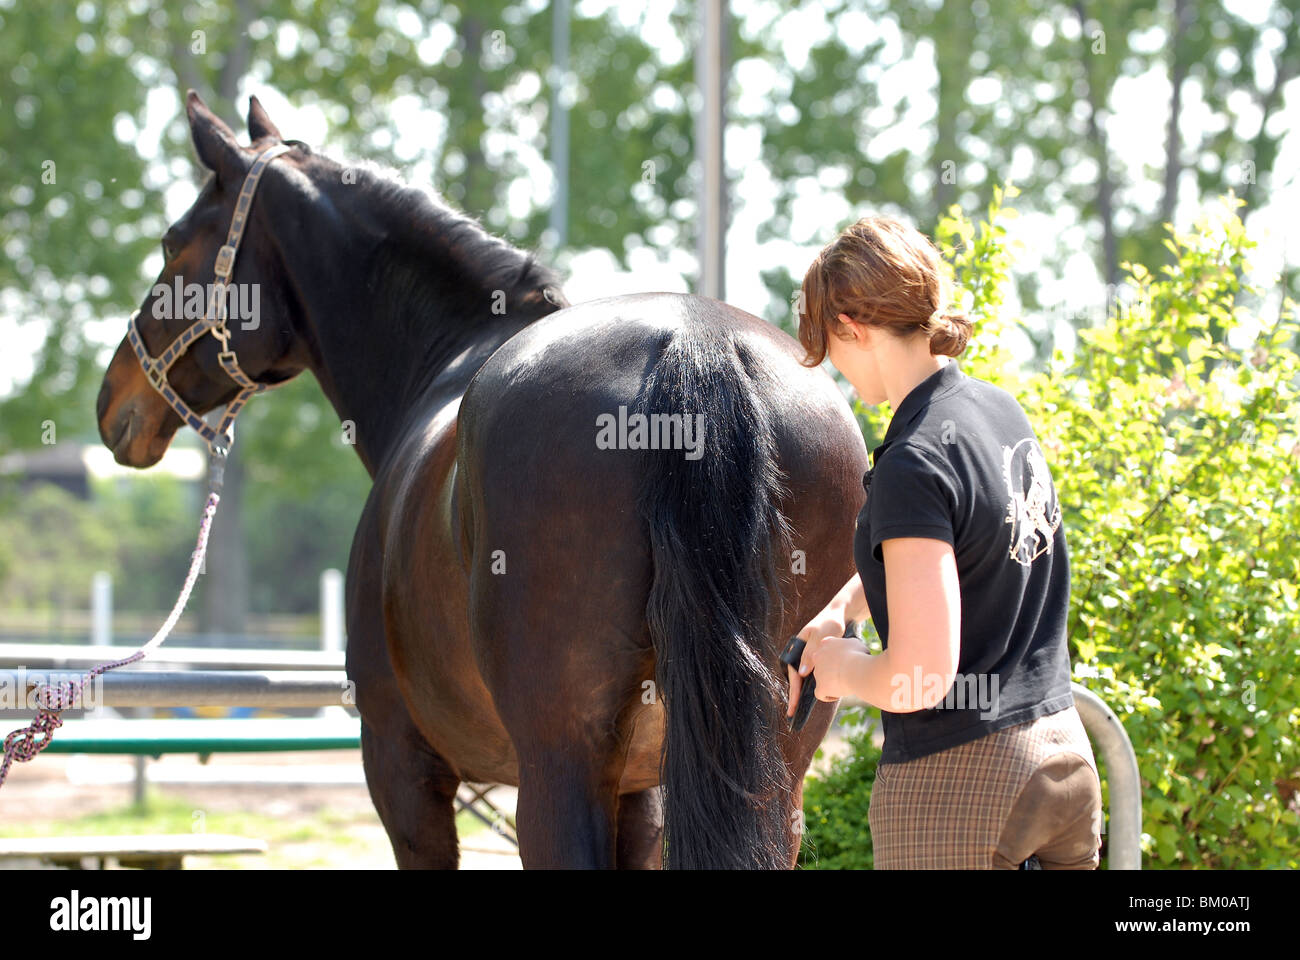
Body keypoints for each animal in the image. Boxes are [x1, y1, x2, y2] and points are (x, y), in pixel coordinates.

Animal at [96, 91, 869, 869]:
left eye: (173, 243)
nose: (113, 403)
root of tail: (692, 339)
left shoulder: (401, 766)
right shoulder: (641, 791)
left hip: (555, 765)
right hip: (774, 767)